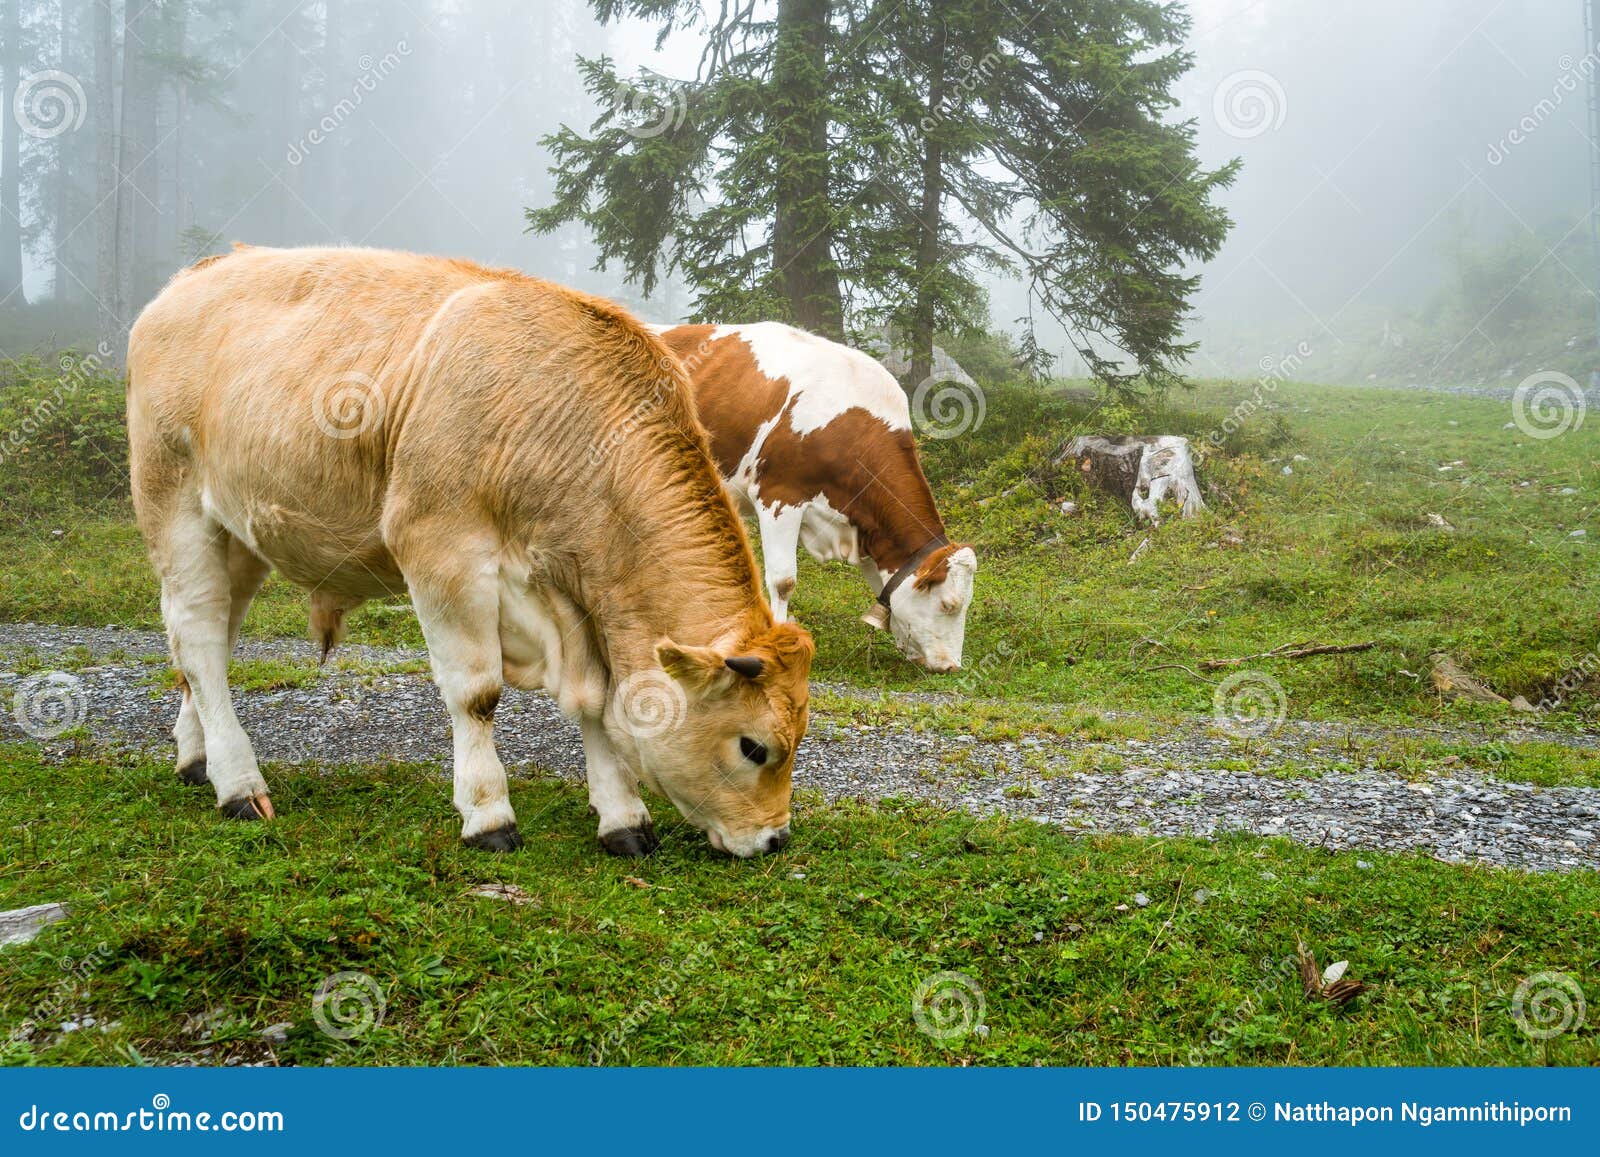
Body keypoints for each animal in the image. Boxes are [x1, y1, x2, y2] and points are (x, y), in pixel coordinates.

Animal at [126, 245, 813, 858]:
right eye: (754, 746)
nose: (774, 840)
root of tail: (198, 274)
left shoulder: (569, 587)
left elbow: (592, 699)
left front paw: (622, 818)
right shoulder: (441, 548)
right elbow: (476, 692)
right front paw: (489, 815)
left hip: (239, 533)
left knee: (209, 640)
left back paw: (197, 758)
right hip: (174, 502)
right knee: (199, 638)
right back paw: (239, 785)